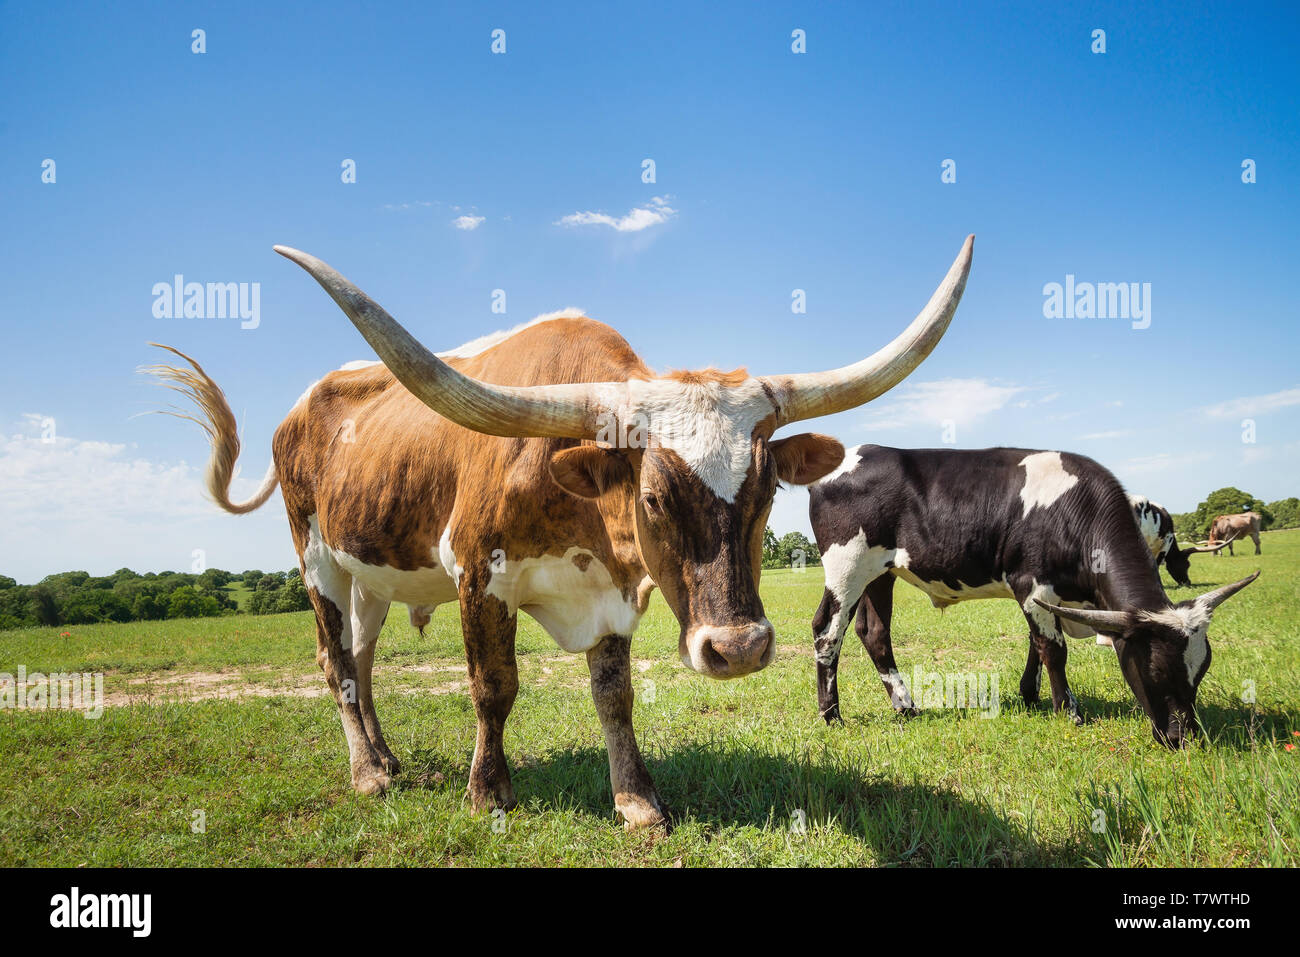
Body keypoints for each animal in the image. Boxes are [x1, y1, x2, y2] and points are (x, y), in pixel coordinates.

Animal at [147, 236, 974, 829]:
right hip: (317, 558)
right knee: (334, 661)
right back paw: (366, 773)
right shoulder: (479, 574)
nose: (737, 648)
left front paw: (637, 799)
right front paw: (489, 792)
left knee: (361, 654)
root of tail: (301, 407)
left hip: (374, 574)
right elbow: (494, 686)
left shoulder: (612, 589)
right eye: (653, 495)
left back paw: (387, 756)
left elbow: (615, 694)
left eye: (768, 488)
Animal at [808, 445, 1258, 749]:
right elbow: (1053, 649)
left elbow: (1036, 643)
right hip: (847, 567)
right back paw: (832, 715)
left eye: (1201, 670)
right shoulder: (1032, 582)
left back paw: (905, 704)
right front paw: (1068, 711)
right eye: (1157, 670)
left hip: (880, 574)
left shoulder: (1044, 596)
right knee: (827, 631)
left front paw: (1030, 695)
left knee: (874, 632)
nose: (1184, 738)